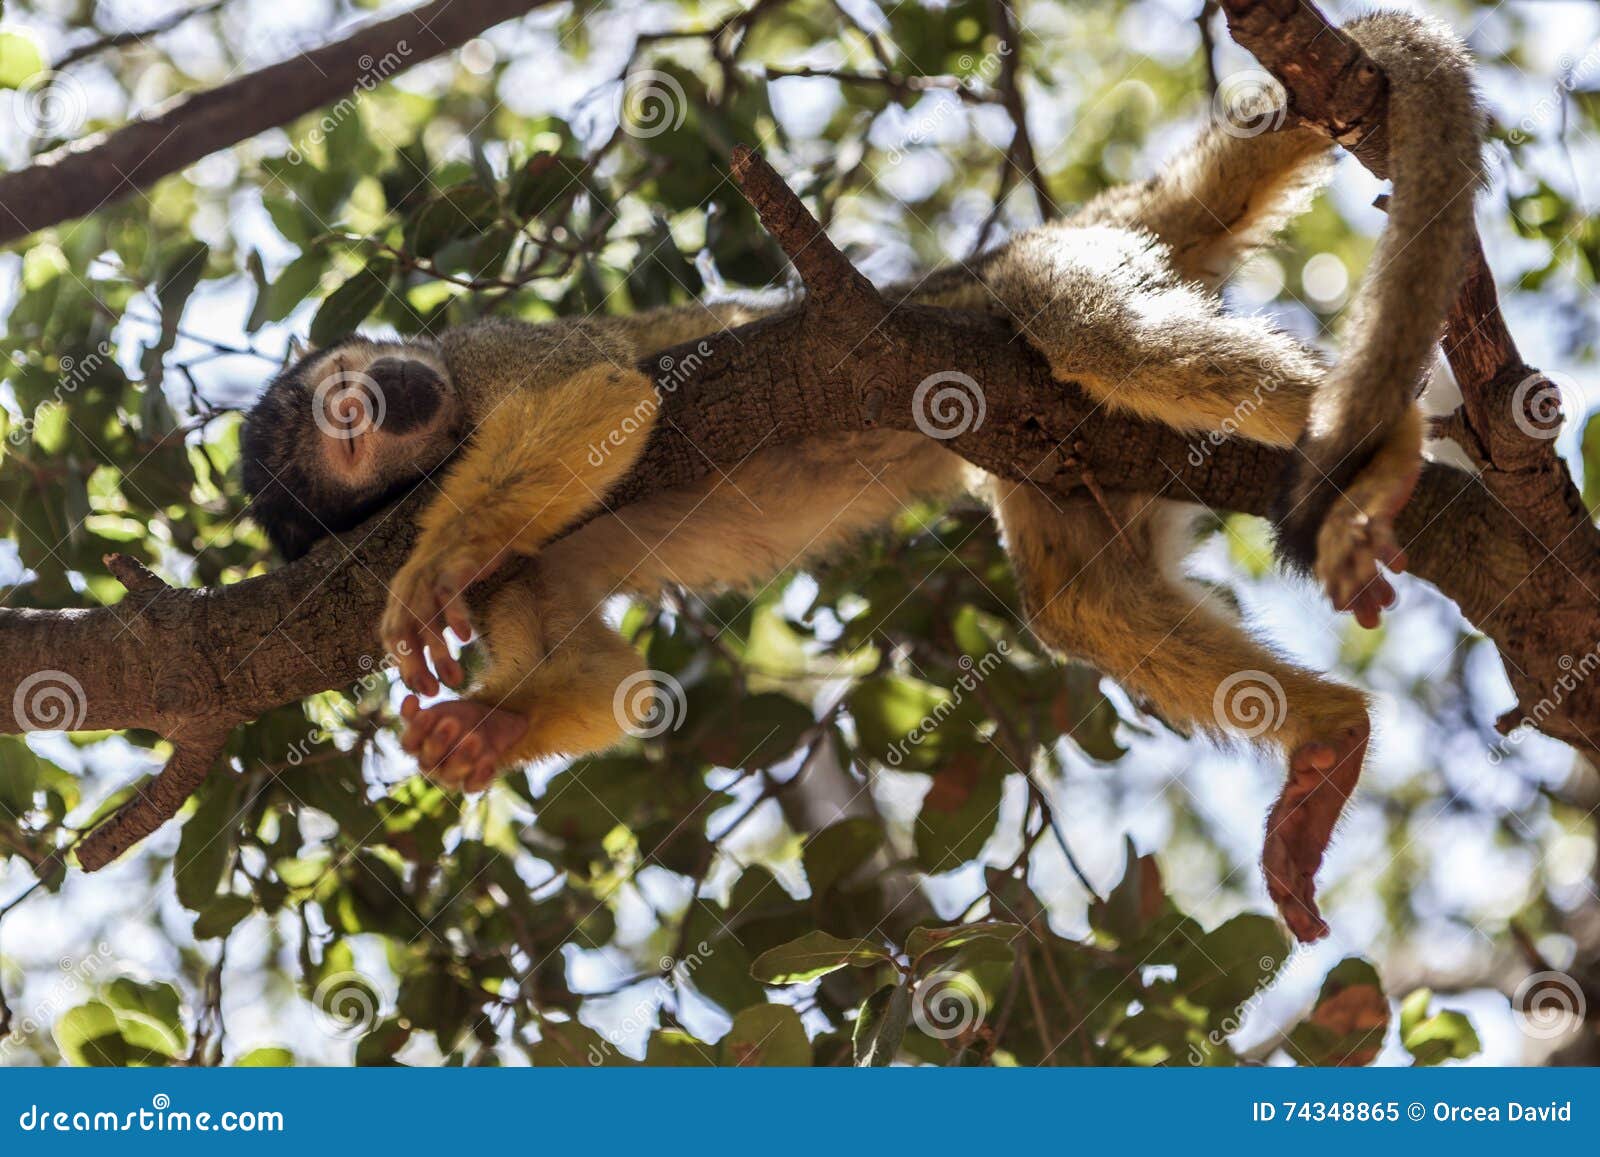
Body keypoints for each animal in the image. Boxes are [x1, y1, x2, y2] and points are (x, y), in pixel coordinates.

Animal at [239, 11, 1483, 944]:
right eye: (345, 429)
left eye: (353, 390)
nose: (385, 392)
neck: (445, 438)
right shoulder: (514, 580)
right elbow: (610, 683)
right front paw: (483, 733)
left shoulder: (486, 356)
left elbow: (605, 399)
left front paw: (428, 565)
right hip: (1058, 445)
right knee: (1078, 593)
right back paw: (1325, 738)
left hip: (1052, 270)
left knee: (1088, 334)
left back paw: (1380, 459)